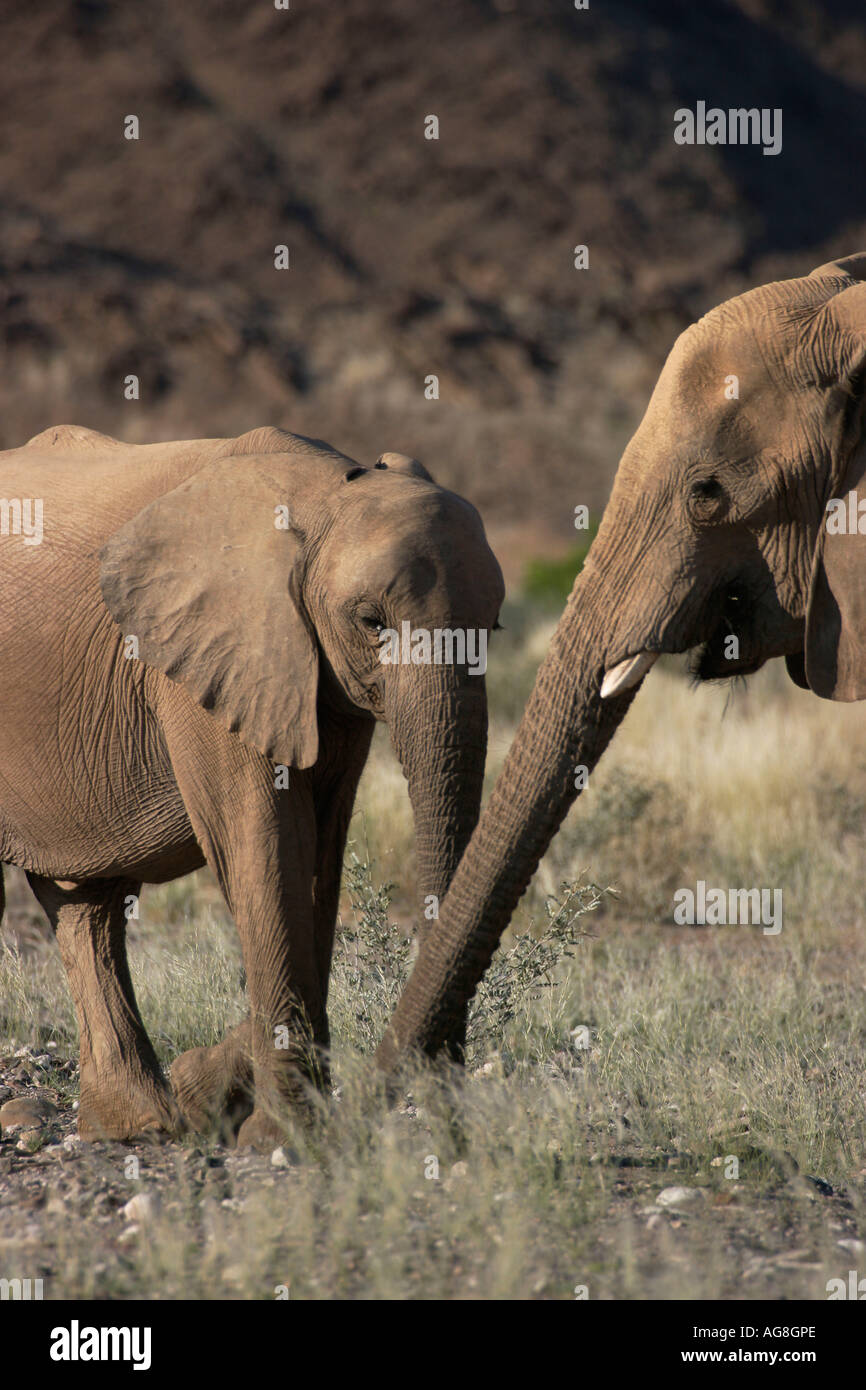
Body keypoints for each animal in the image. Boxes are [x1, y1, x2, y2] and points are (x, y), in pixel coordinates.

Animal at [0, 423, 503, 1146]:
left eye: (494, 626)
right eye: (371, 620)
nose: (447, 1110)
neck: (323, 493)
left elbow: (319, 856)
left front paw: (231, 1098)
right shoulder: (205, 663)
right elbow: (265, 847)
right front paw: (286, 1137)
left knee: (84, 904)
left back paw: (139, 1124)